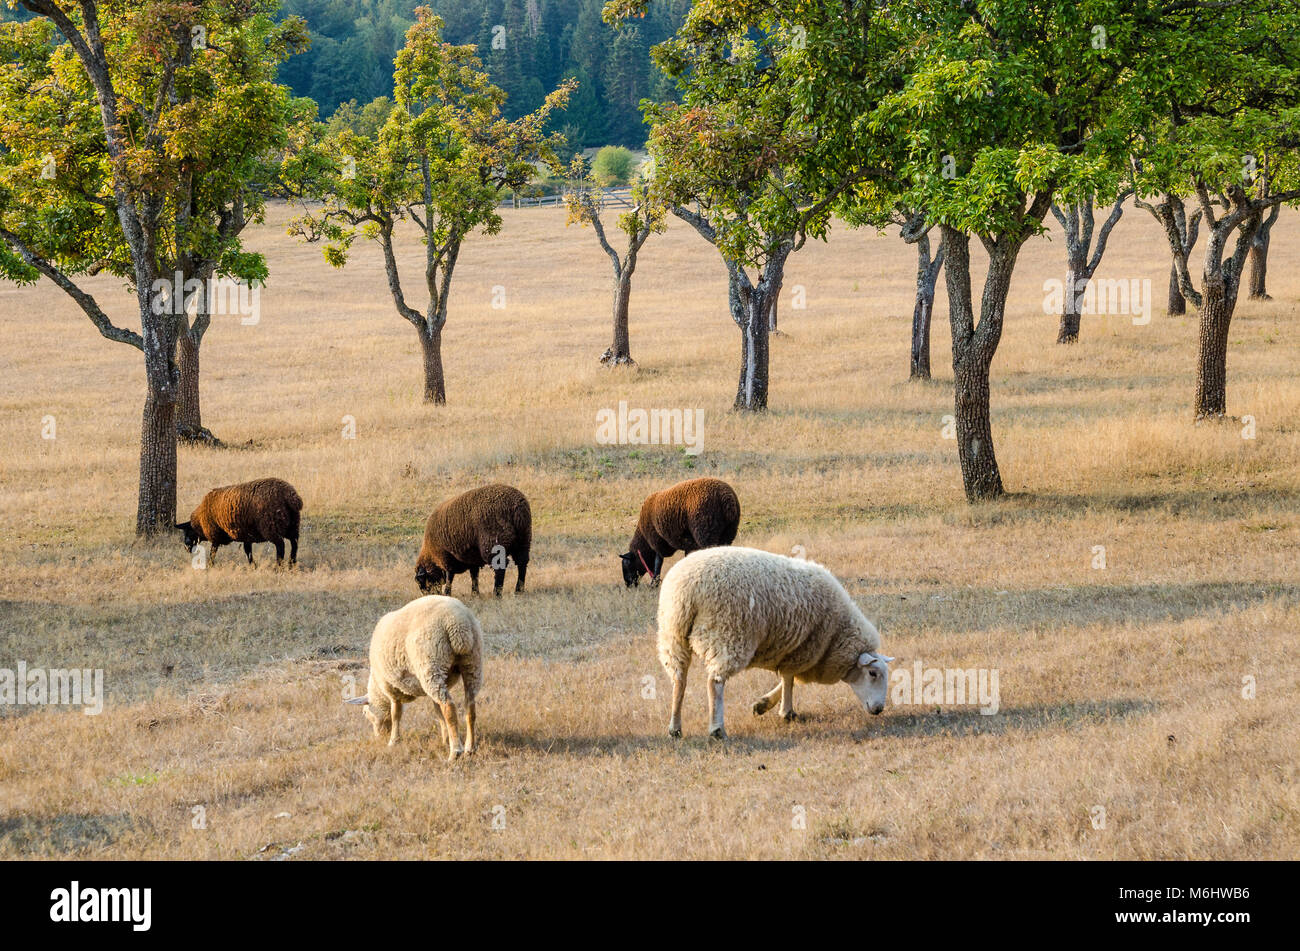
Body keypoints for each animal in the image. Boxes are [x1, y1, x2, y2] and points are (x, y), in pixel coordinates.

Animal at [345, 595, 482, 761]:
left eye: (365, 713)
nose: (379, 737)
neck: (378, 686)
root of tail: (458, 623)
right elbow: (437, 711)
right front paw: (445, 739)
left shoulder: (391, 688)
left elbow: (396, 714)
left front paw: (393, 741)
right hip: (472, 662)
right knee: (470, 706)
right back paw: (470, 747)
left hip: (430, 663)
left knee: (449, 707)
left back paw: (455, 752)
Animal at [655, 546, 894, 739]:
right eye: (873, 673)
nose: (879, 709)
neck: (837, 635)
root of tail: (687, 591)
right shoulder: (804, 649)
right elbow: (789, 679)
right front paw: (785, 711)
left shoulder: (793, 649)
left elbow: (788, 678)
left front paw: (764, 705)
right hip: (727, 635)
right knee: (715, 683)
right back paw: (717, 729)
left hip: (673, 637)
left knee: (679, 680)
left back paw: (675, 728)